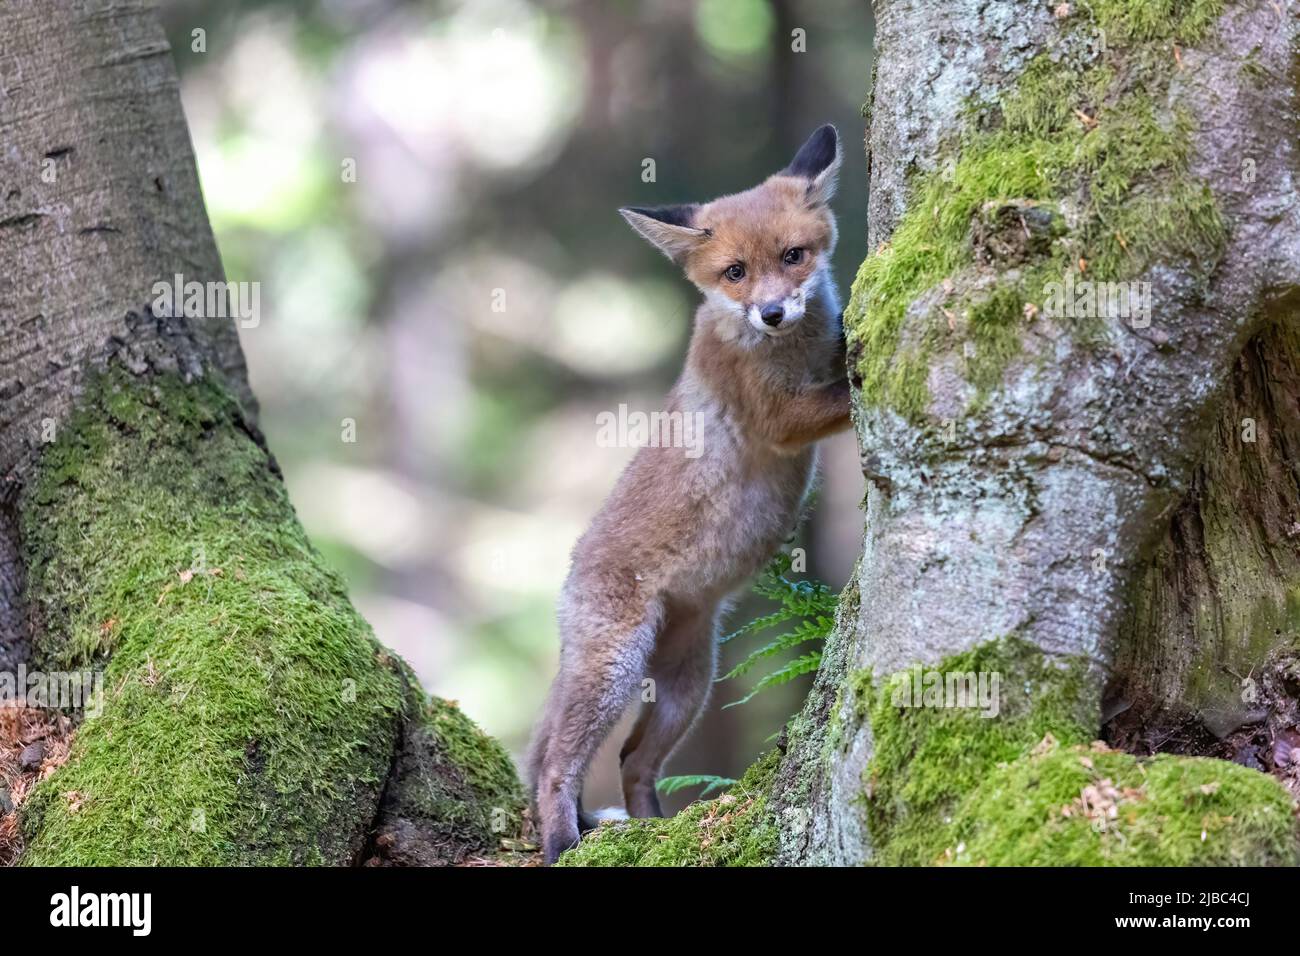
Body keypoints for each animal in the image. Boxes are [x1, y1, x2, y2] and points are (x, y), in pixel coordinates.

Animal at [527, 124, 853, 864]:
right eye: (734, 272)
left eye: (793, 256)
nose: (771, 312)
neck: (786, 348)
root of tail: (569, 571)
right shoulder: (780, 420)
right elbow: (843, 390)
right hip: (615, 671)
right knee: (557, 765)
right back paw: (563, 841)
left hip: (687, 683)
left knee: (633, 761)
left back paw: (653, 830)